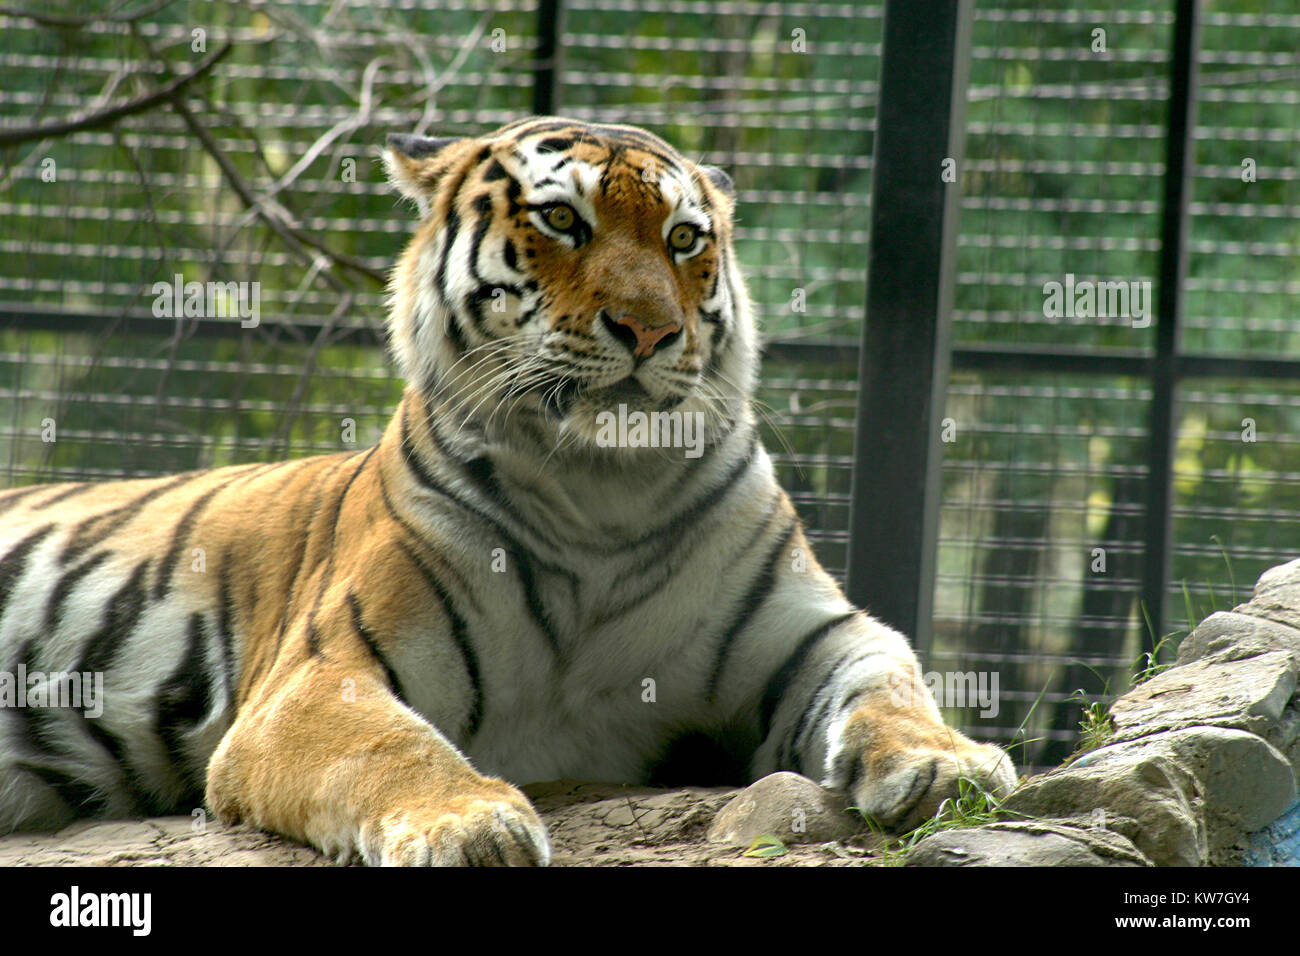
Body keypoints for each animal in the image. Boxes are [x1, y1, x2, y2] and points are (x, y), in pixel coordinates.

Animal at [0, 116, 1015, 866]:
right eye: (564, 222)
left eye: (685, 239)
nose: (650, 330)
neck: (605, 491)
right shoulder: (318, 676)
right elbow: (390, 745)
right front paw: (468, 822)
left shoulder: (816, 632)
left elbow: (892, 682)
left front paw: (948, 764)